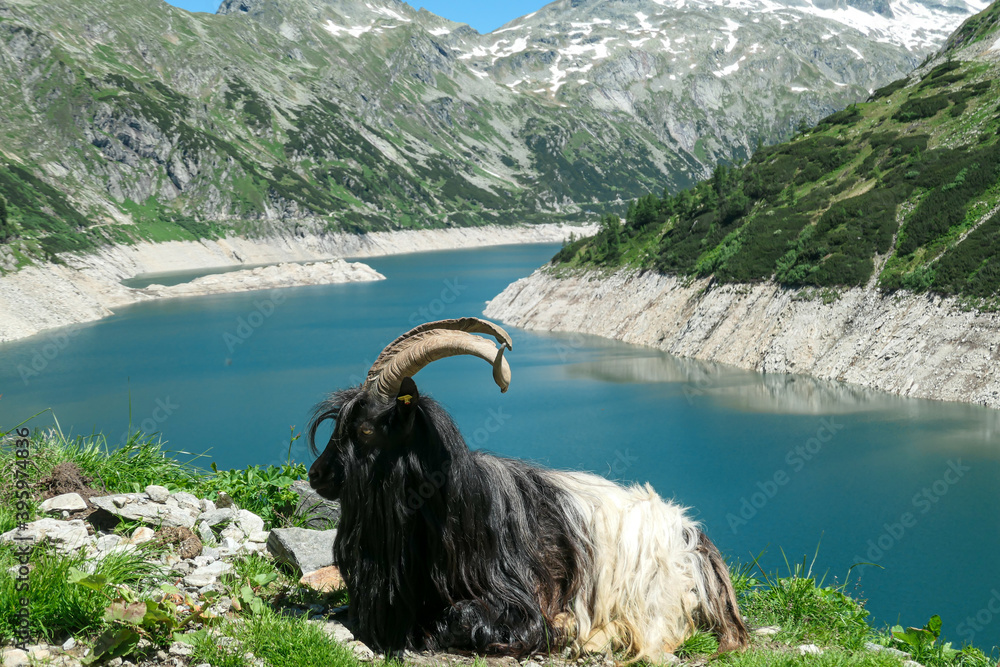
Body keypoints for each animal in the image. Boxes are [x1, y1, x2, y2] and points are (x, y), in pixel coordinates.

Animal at [308, 317, 748, 661]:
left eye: (367, 430)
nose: (316, 475)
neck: (459, 510)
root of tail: (693, 534)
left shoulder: (524, 601)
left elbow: (462, 619)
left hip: (653, 593)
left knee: (662, 633)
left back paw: (594, 637)